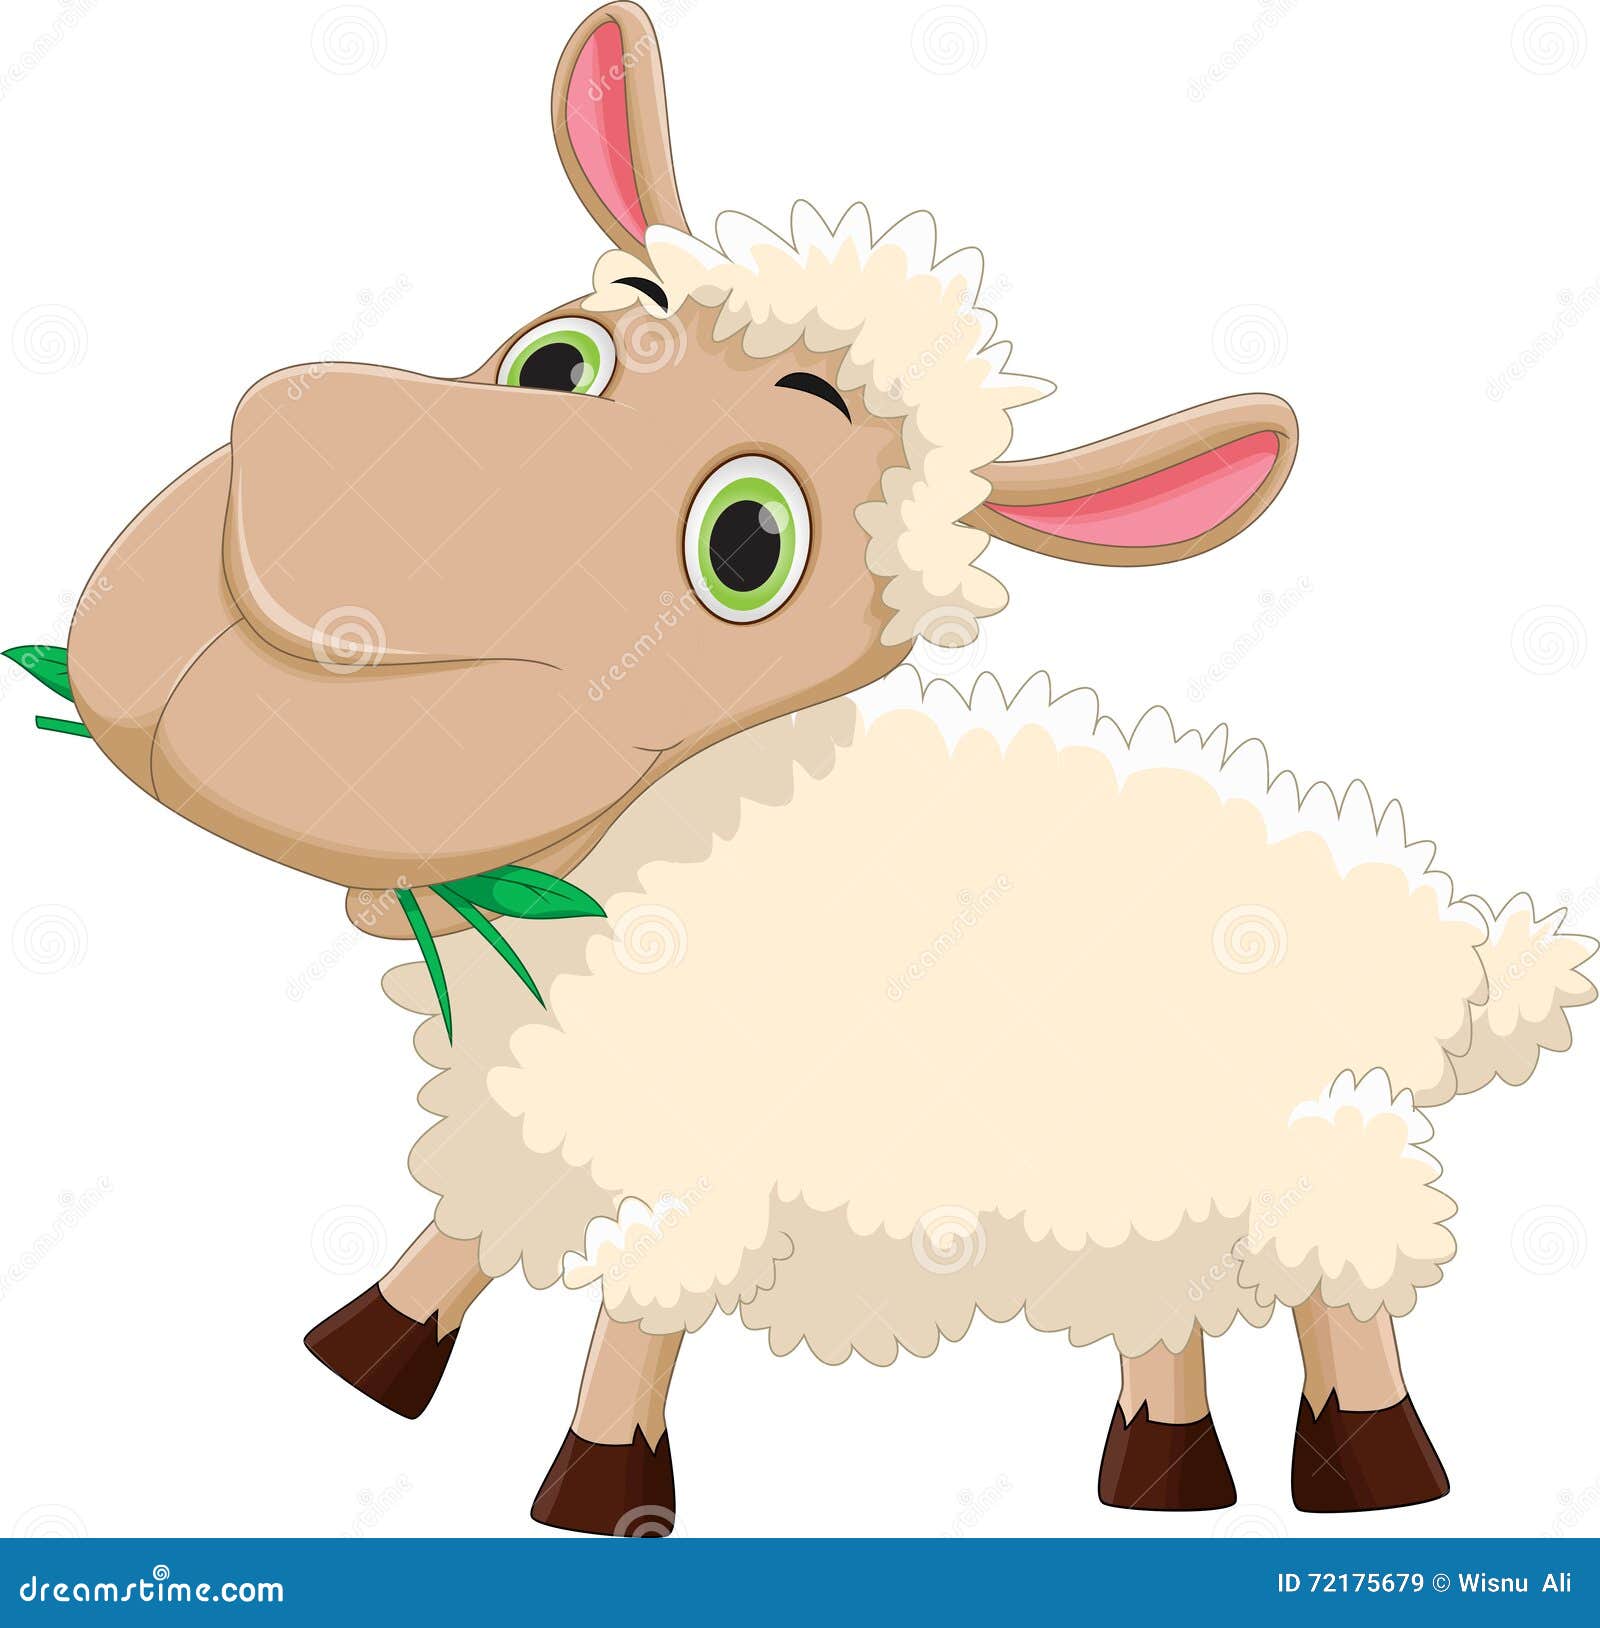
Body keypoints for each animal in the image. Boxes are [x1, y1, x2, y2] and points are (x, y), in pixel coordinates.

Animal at [30, 2, 1591, 1537]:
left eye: (749, 543)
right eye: (559, 360)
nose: (290, 512)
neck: (673, 839)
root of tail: (1432, 926)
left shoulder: (698, 1151)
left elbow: (638, 1307)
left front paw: (601, 1483)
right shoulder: (536, 1107)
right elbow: (465, 1225)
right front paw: (368, 1352)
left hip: (1311, 1148)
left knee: (1348, 1290)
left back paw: (1374, 1471)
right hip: (1146, 1174)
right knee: (1167, 1311)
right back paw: (1162, 1469)